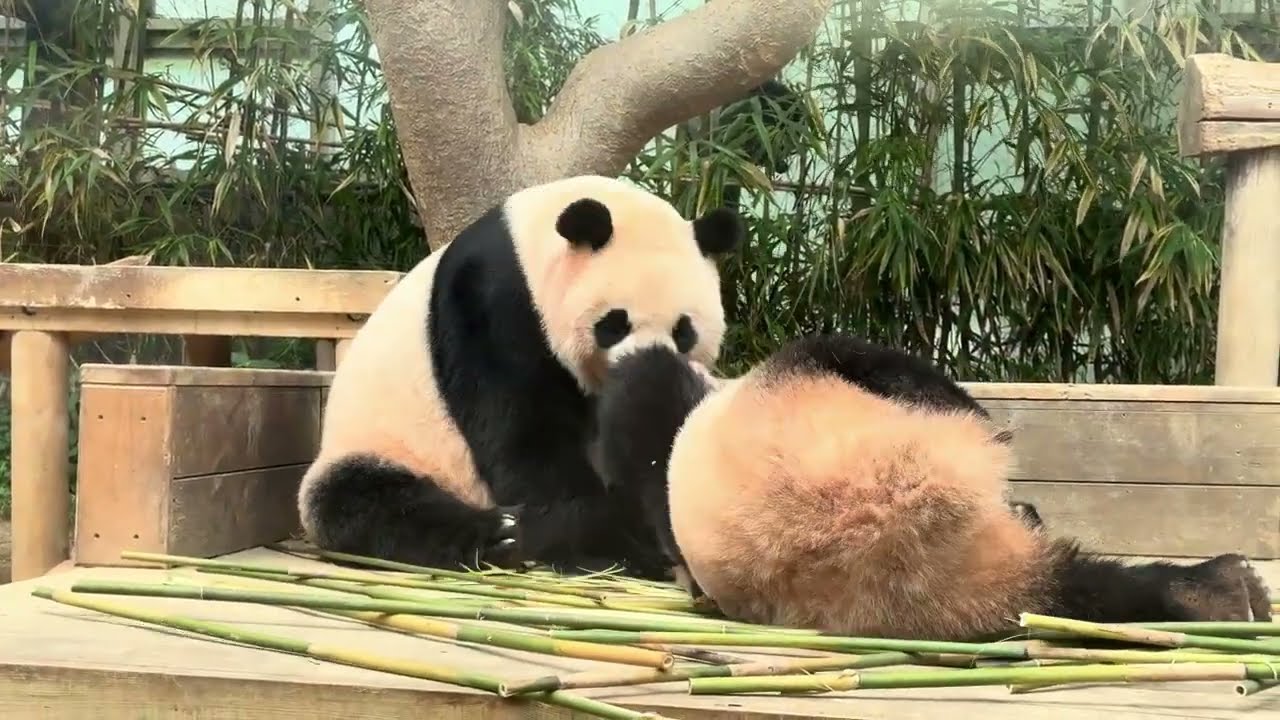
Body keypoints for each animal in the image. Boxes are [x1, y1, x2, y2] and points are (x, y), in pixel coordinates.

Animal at [297, 174, 744, 577]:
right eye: (614, 323)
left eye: (684, 331)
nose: (635, 362)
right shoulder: (493, 304)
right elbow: (526, 435)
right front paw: (610, 548)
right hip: (379, 445)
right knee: (368, 503)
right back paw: (498, 535)